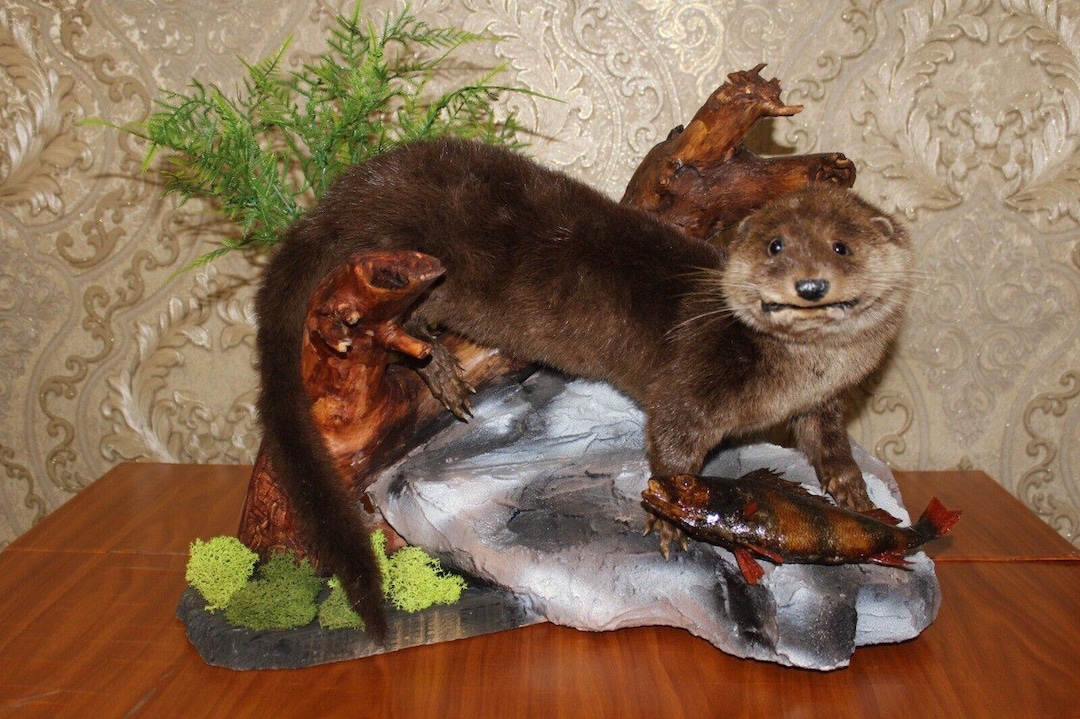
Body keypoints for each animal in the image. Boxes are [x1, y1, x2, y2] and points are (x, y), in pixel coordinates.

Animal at [255, 137, 912, 638]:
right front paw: (673, 522)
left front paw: (861, 502)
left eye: (842, 246)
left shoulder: (821, 403)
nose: (810, 285)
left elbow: (831, 450)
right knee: (405, 318)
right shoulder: (695, 387)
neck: (795, 372)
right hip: (417, 264)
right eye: (776, 247)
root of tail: (351, 193)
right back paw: (437, 365)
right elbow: (670, 446)